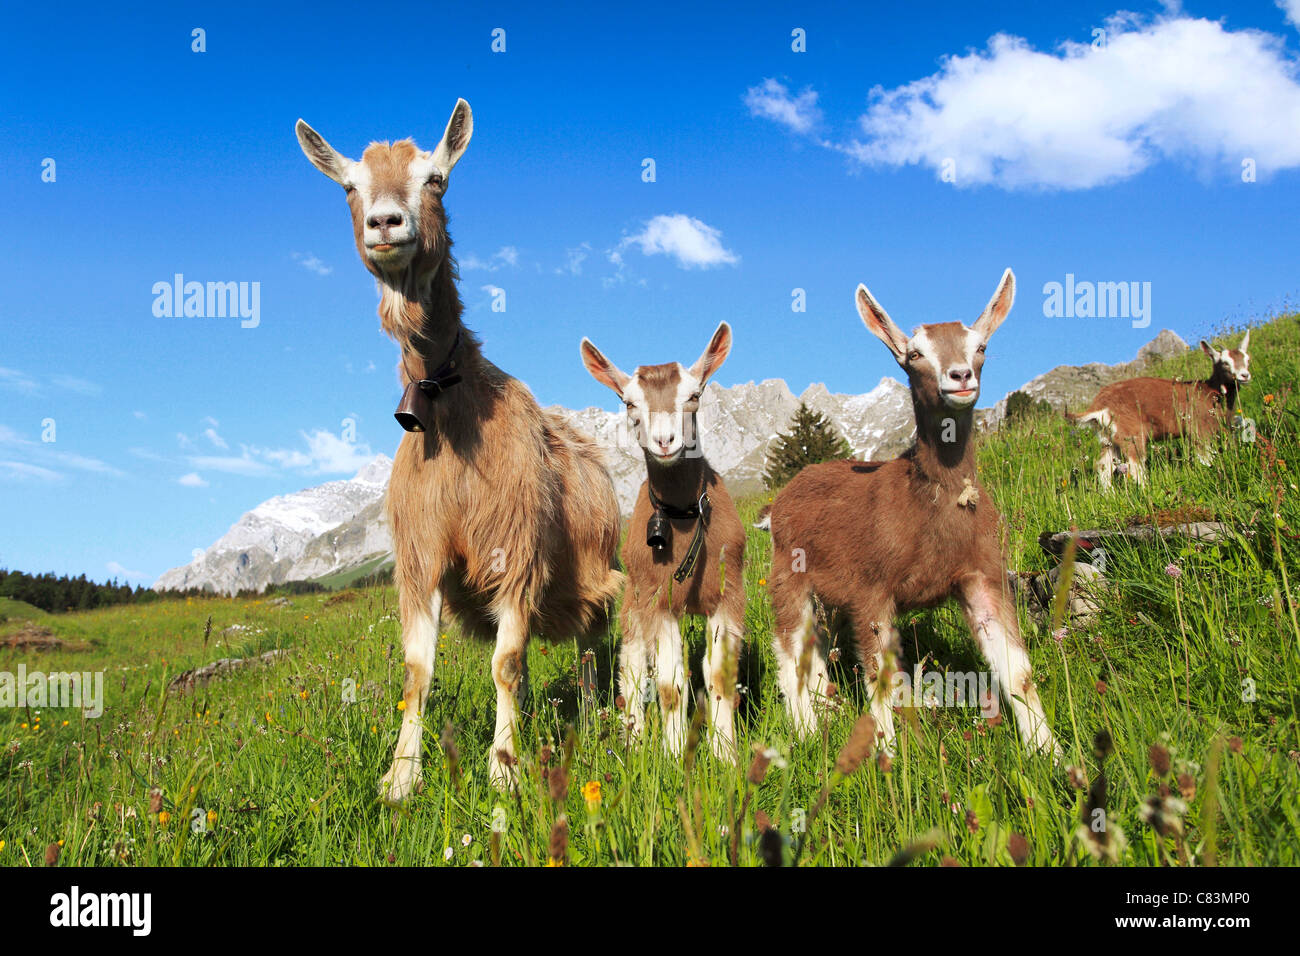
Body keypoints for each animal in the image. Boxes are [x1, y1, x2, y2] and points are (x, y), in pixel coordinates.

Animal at [296, 100, 623, 802]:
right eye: (348, 187)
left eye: (436, 178)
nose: (385, 223)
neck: (451, 408)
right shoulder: (421, 558)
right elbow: (418, 671)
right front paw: (401, 778)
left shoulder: (517, 552)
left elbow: (505, 663)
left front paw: (504, 772)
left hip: (595, 570)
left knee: (589, 641)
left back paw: (590, 718)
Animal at [580, 323, 746, 758]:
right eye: (628, 403)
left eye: (694, 395)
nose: (665, 441)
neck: (685, 517)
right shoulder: (660, 598)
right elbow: (670, 684)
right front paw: (674, 754)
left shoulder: (728, 593)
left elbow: (719, 677)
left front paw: (726, 756)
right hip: (635, 598)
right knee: (634, 666)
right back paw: (634, 739)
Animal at [765, 270, 1059, 758]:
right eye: (914, 355)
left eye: (980, 346)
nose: (959, 377)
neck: (924, 501)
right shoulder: (871, 587)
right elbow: (880, 678)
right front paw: (886, 755)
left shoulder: (982, 575)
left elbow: (1017, 669)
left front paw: (1050, 752)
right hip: (787, 572)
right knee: (791, 652)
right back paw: (806, 730)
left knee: (820, 647)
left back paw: (829, 713)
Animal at [1071, 332, 1252, 488]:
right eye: (1225, 363)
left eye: (1247, 359)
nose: (1244, 375)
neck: (1209, 391)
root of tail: (1098, 406)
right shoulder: (1199, 430)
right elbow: (1205, 457)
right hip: (1131, 433)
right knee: (1135, 464)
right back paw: (1146, 490)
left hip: (1109, 438)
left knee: (1103, 466)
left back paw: (1110, 495)